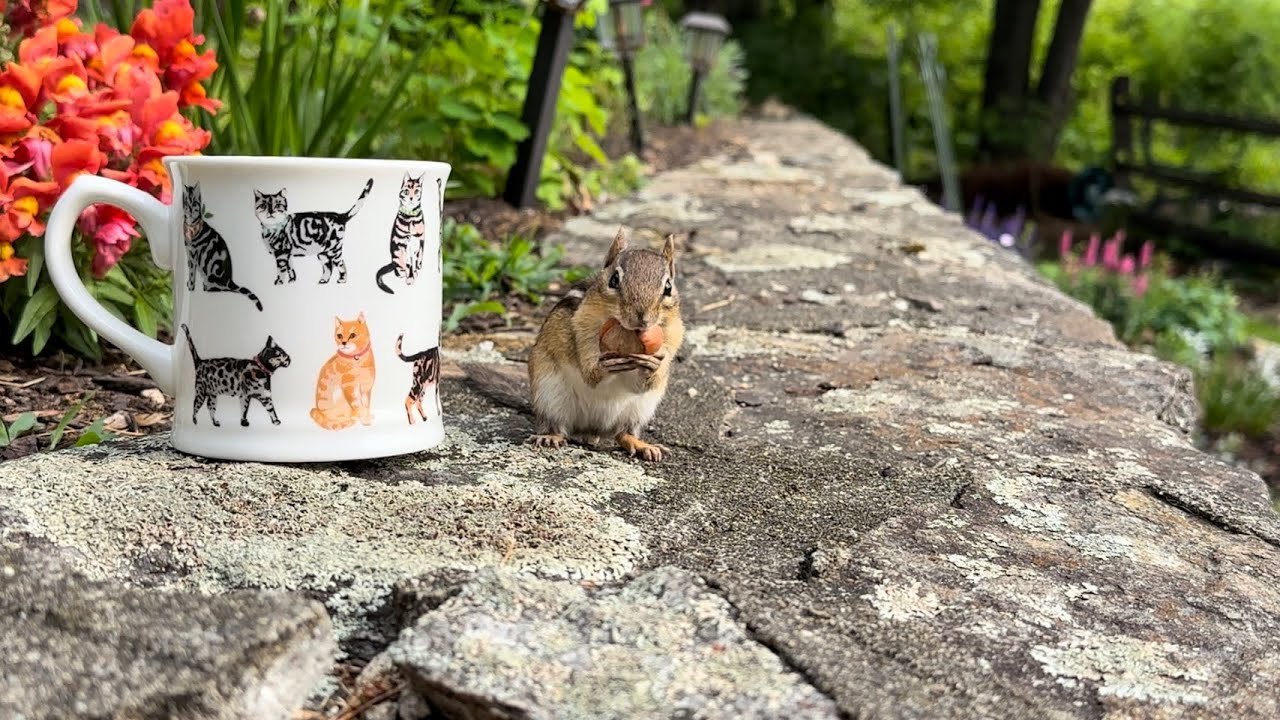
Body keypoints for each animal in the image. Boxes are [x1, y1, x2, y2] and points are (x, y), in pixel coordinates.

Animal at [526, 227, 685, 461]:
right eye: (614, 280)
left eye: (668, 286)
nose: (642, 319)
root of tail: (592, 428)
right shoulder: (582, 333)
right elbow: (590, 375)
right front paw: (605, 367)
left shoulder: (672, 339)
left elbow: (644, 383)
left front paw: (652, 365)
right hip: (550, 395)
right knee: (558, 426)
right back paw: (550, 437)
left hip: (640, 409)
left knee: (623, 434)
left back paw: (642, 445)